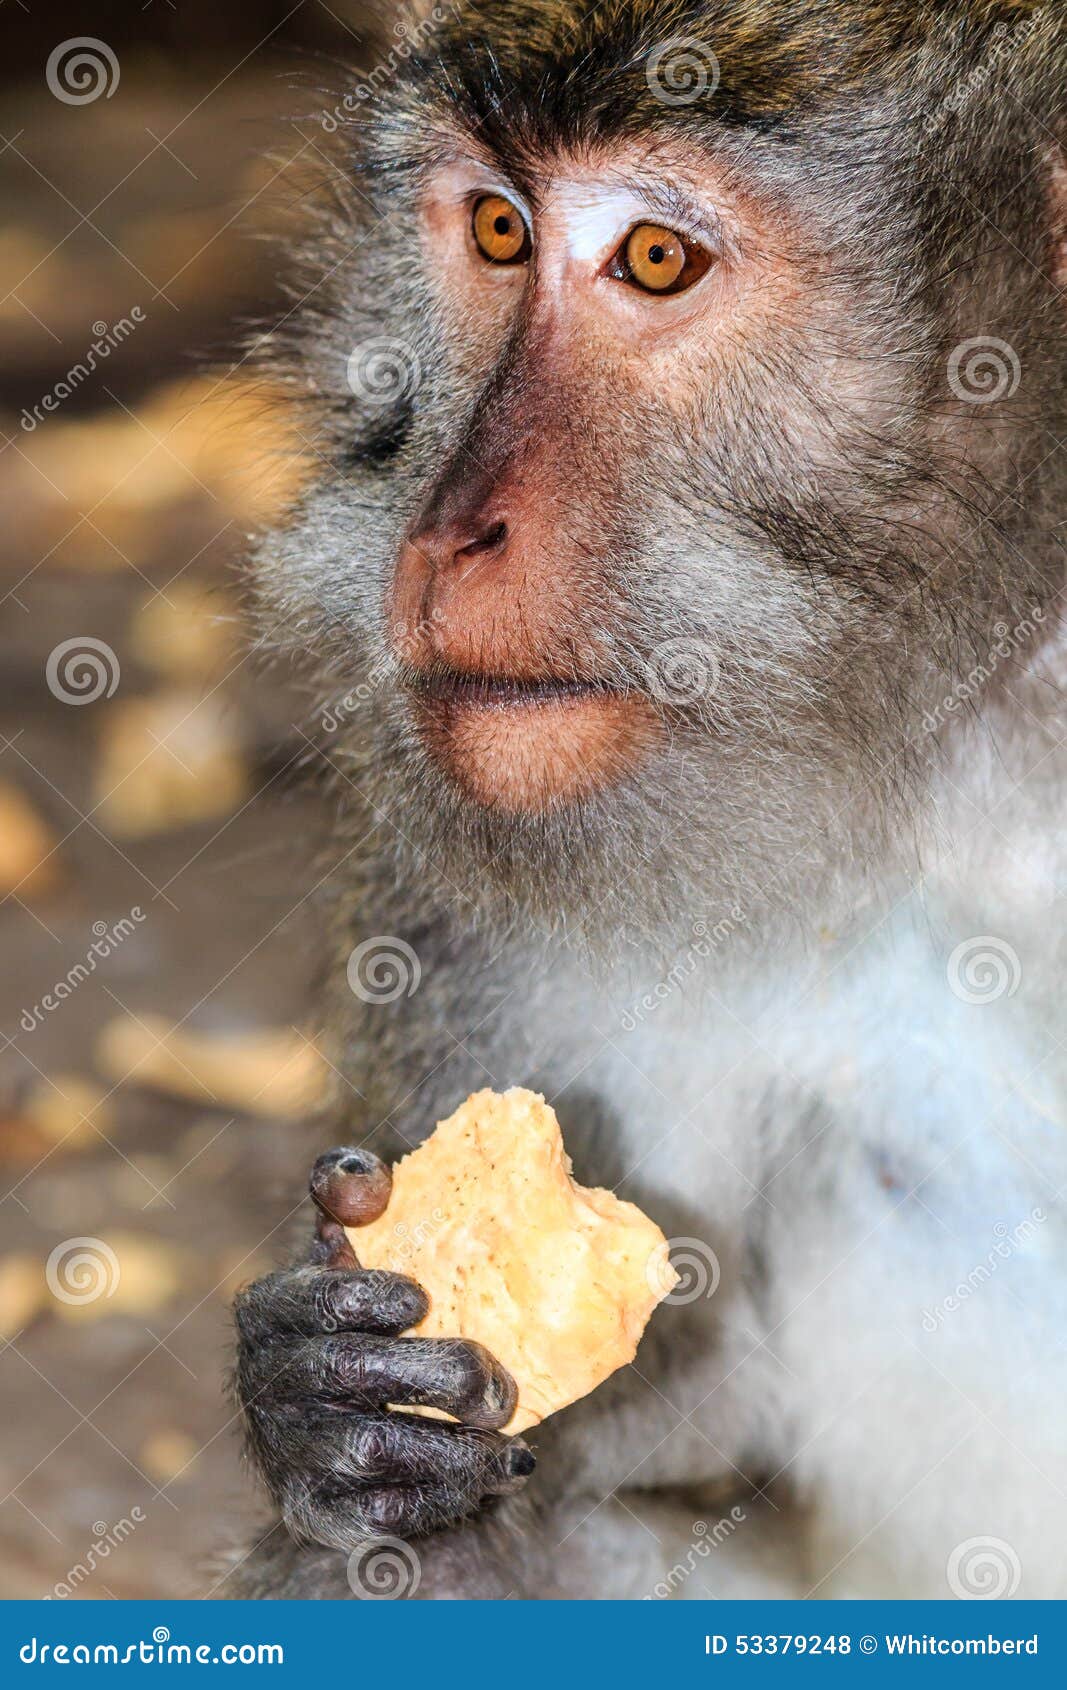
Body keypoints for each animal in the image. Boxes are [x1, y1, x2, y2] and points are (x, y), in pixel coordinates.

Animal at [226, 0, 1067, 1599]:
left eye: (656, 258)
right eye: (497, 229)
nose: (448, 535)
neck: (958, 727)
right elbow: (664, 1367)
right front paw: (323, 1405)